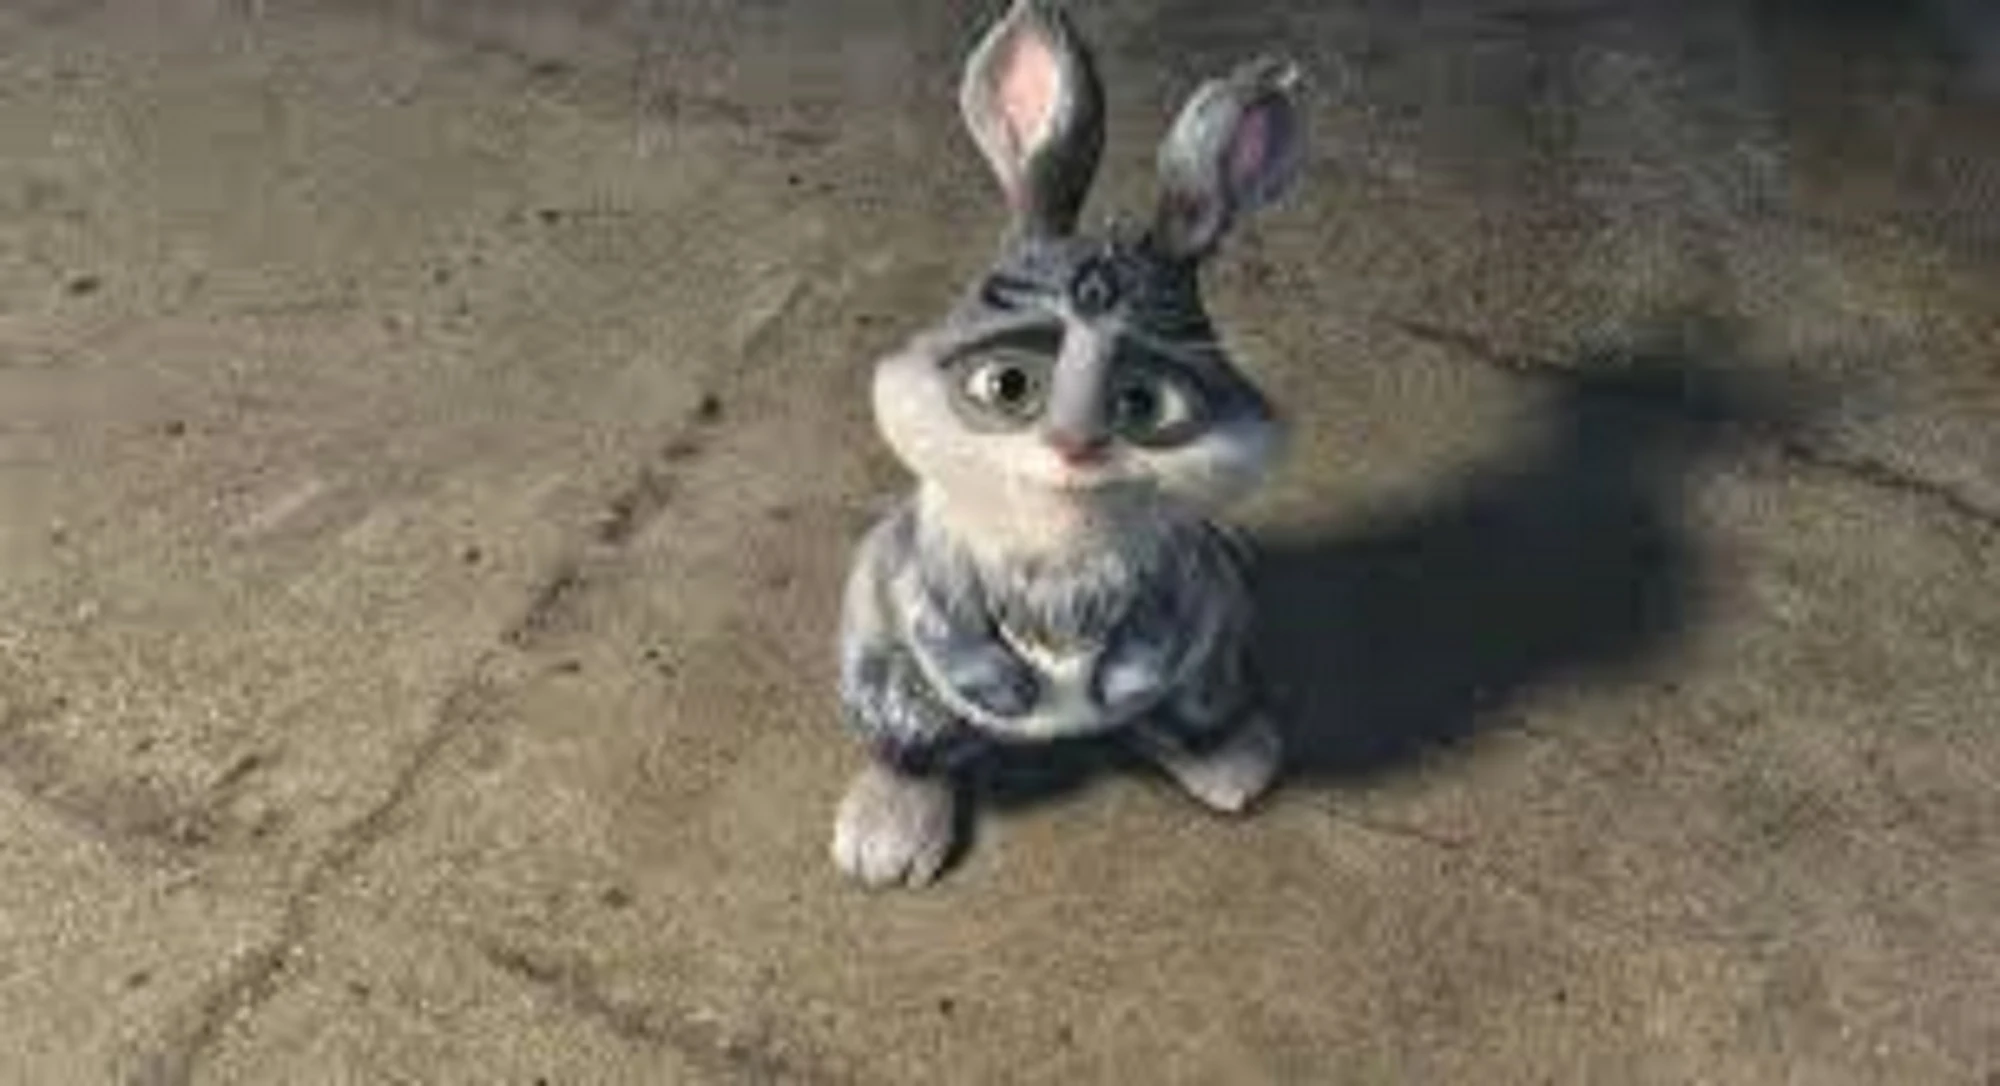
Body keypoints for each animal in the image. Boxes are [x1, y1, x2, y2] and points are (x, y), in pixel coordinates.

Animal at [831, 0, 1308, 889]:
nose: (1075, 444)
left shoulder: (1186, 573)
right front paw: (1009, 695)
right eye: (1007, 385)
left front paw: (1117, 684)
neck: (1060, 543)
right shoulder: (922, 562)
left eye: (1142, 402)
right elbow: (941, 620)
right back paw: (888, 837)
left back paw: (1231, 767)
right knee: (915, 741)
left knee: (1188, 713)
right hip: (880, 670)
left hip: (1219, 653)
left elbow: (1157, 626)